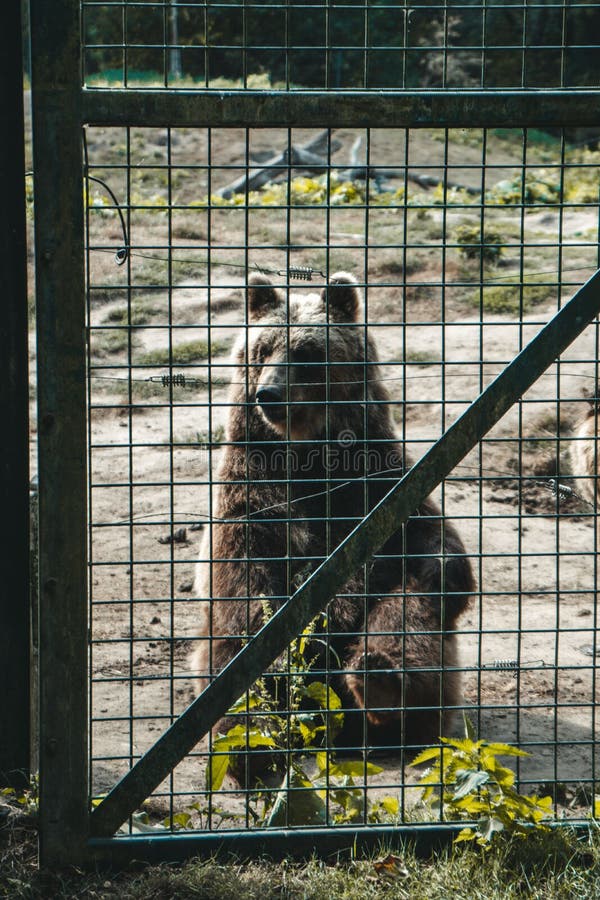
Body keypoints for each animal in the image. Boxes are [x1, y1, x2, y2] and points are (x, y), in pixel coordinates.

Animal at [190, 272, 474, 783]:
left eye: (306, 353)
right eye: (263, 349)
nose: (268, 395)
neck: (307, 453)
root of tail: (331, 730)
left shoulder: (377, 483)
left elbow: (434, 553)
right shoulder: (253, 495)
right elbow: (244, 578)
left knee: (406, 626)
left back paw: (383, 687)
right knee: (232, 680)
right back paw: (249, 745)